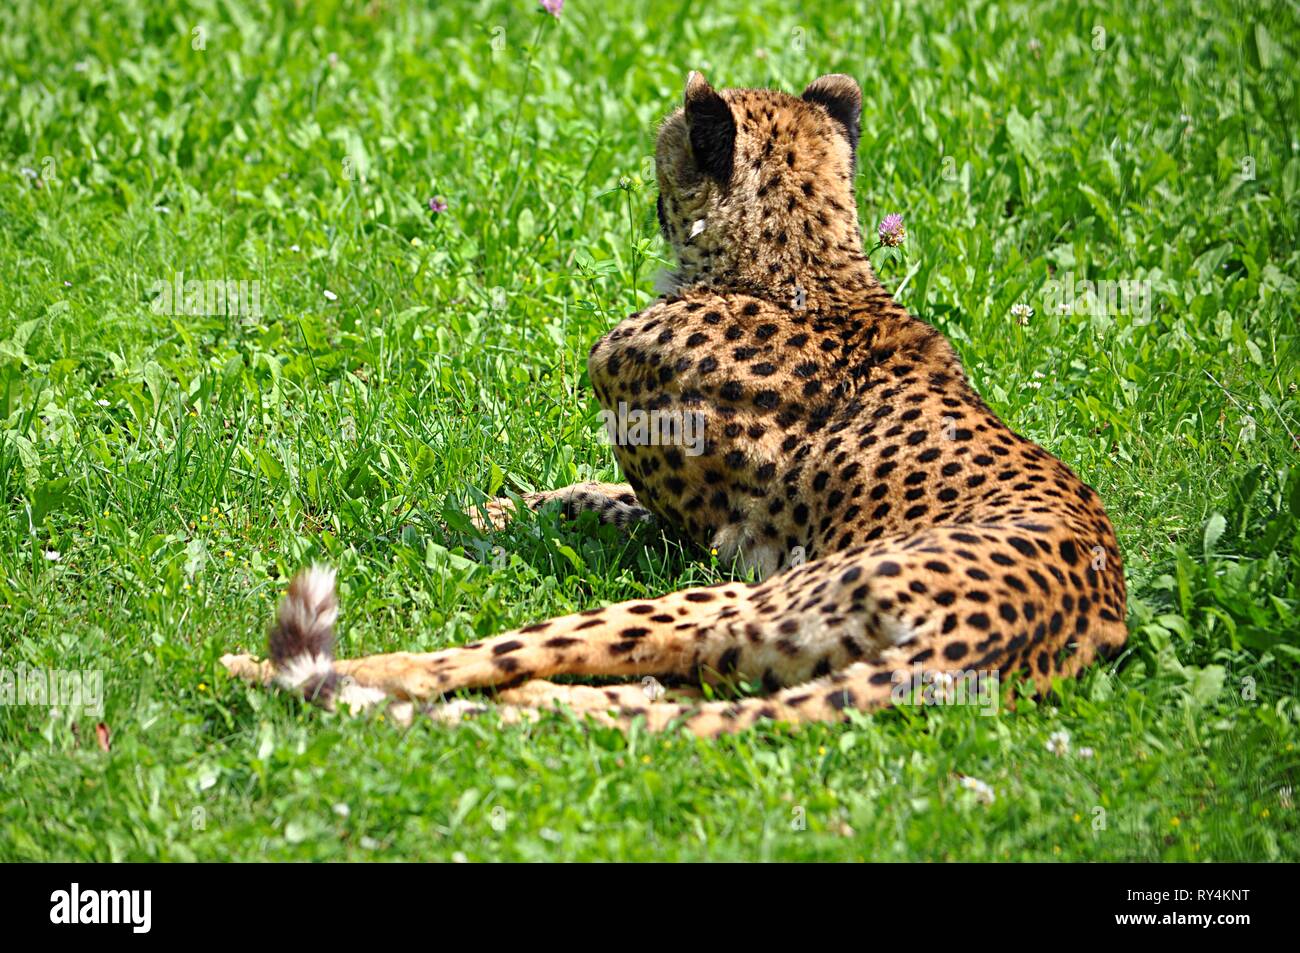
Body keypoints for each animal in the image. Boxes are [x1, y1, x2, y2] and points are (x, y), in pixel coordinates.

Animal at [222, 72, 1128, 736]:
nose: (641, 196)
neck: (797, 268)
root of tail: (1059, 618)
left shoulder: (697, 545)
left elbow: (584, 499)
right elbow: (571, 493)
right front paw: (469, 509)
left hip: (720, 604)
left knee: (466, 663)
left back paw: (251, 670)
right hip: (762, 652)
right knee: (648, 701)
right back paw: (539, 704)